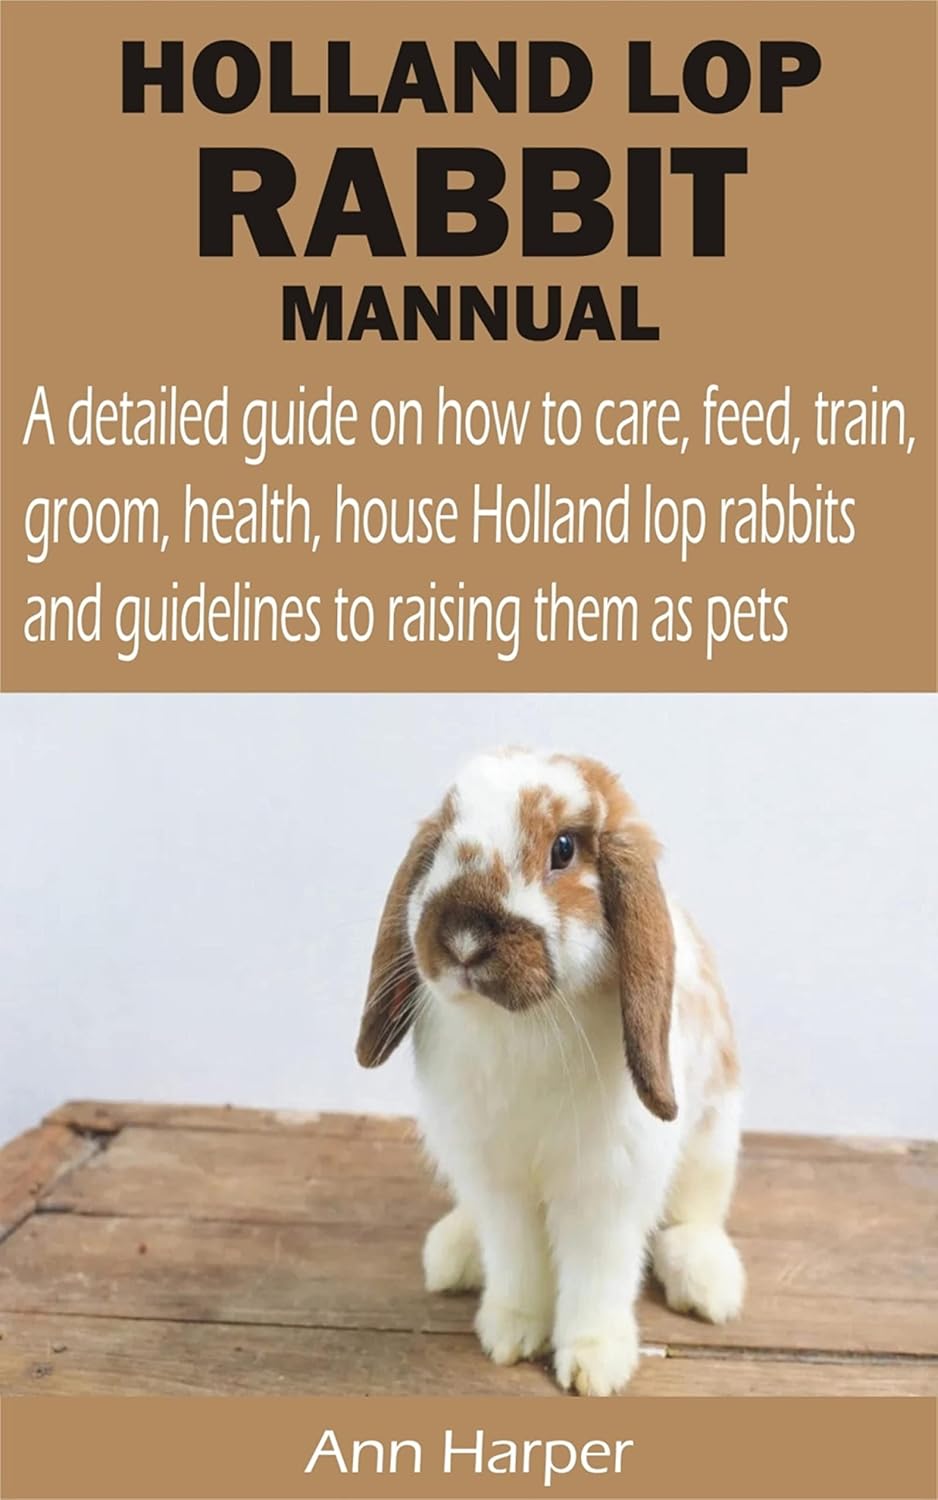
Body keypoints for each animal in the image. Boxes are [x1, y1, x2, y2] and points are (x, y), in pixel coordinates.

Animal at [356, 747, 744, 1395]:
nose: (463, 939)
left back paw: (709, 1284)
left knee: (693, 1216)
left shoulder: (605, 1190)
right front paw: (511, 1334)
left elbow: (596, 1275)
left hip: (713, 1144)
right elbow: (517, 1260)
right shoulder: (499, 1182)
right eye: (443, 841)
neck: (521, 1026)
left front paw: (594, 1363)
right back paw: (455, 1252)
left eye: (564, 848)